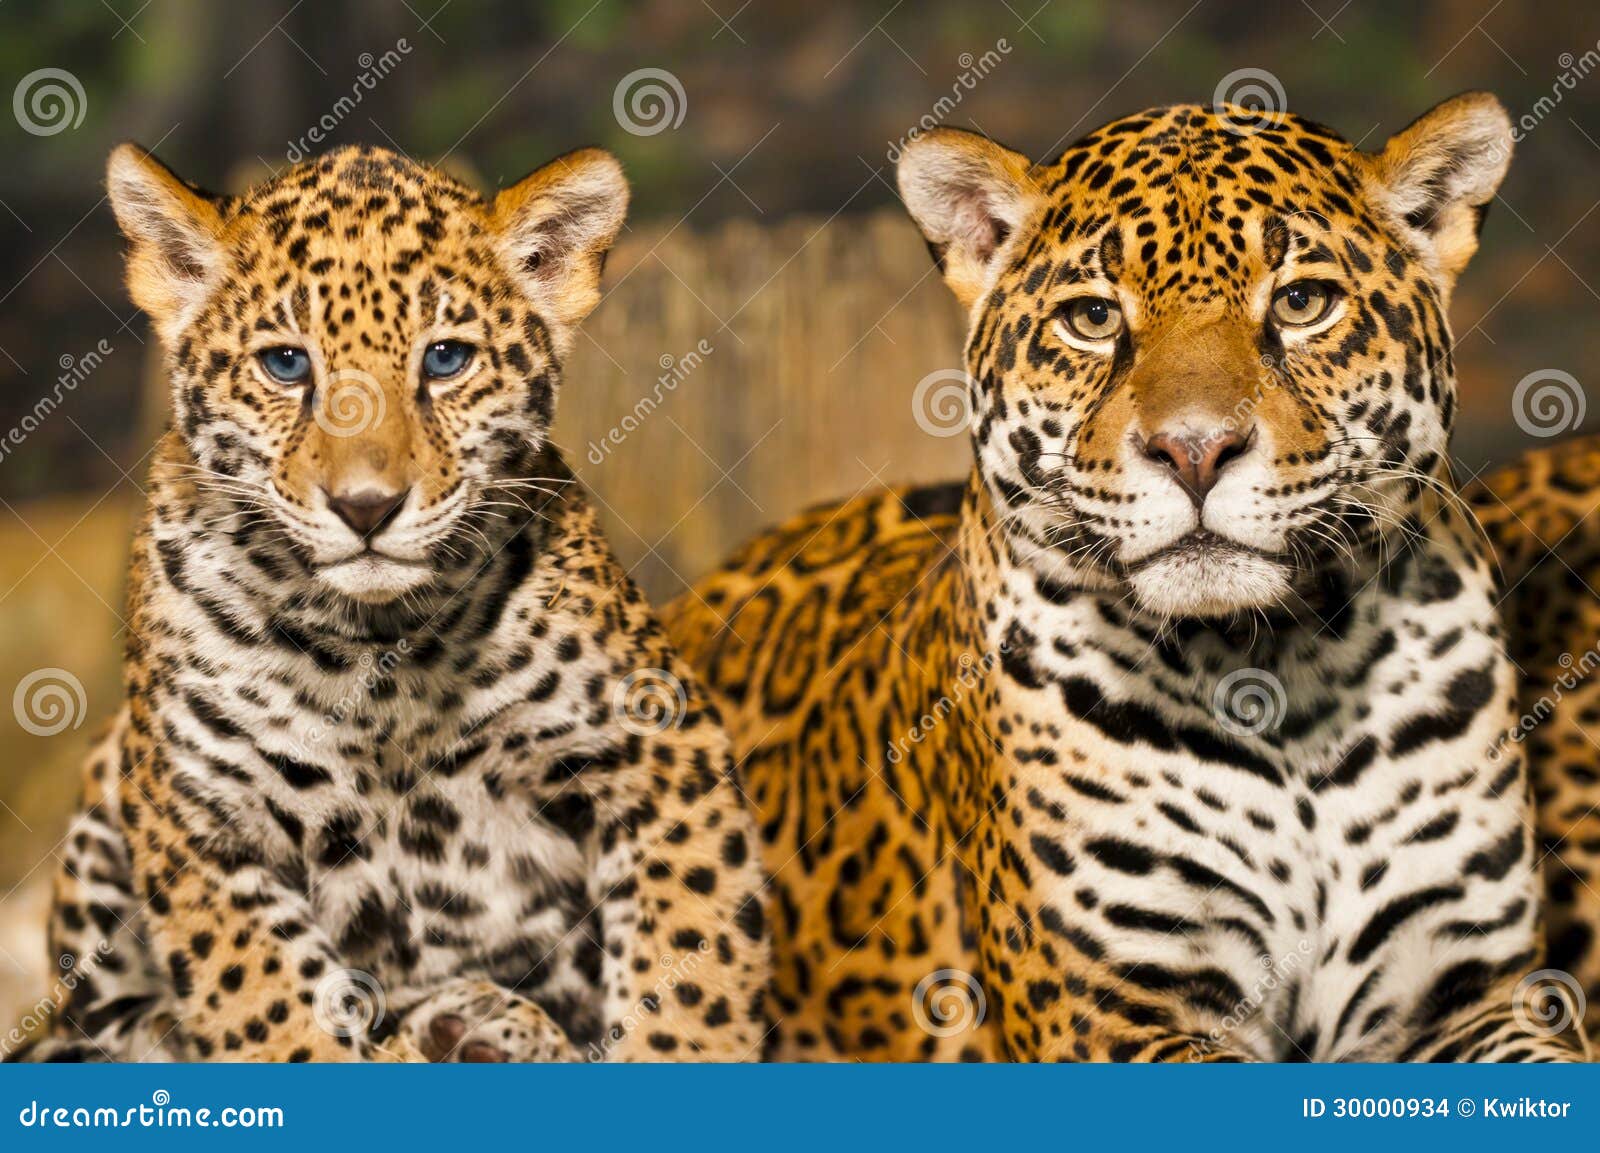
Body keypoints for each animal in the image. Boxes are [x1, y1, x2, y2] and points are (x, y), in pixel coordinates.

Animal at [10, 142, 769, 1062]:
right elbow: (274, 1012)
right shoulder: (201, 817)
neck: (377, 650)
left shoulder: (661, 751)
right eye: (286, 363)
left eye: (445, 360)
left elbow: (692, 968)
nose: (366, 507)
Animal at [666, 94, 1594, 1061]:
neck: (1284, 673)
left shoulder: (1478, 990)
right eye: (1092, 318)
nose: (1194, 450)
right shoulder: (1109, 1011)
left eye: (1303, 302)